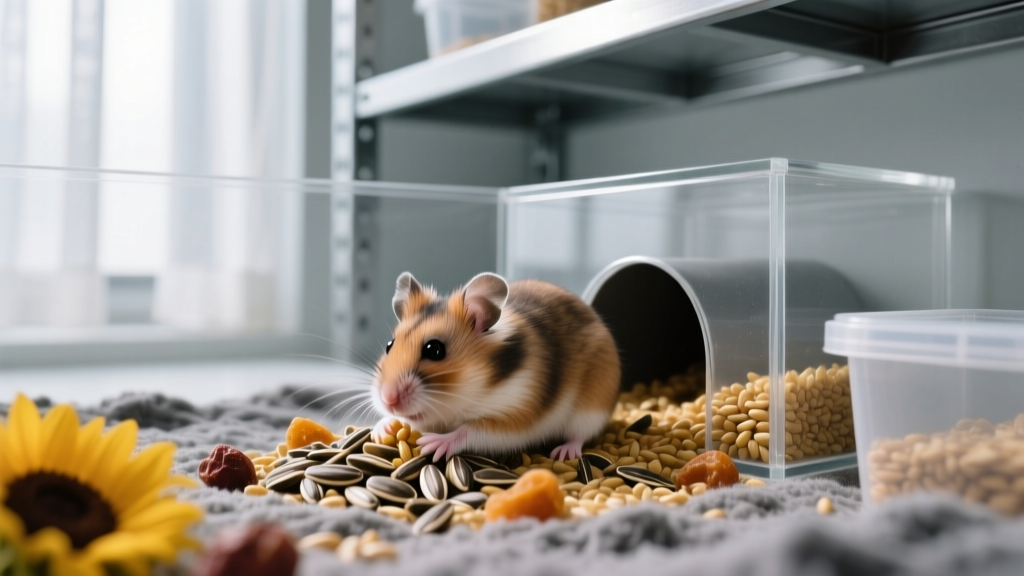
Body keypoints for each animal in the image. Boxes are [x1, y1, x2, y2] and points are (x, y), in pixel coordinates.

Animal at [371, 271, 621, 462]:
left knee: (580, 435)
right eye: (389, 345)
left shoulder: (517, 415)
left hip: (592, 407)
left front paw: (432, 443)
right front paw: (380, 432)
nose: (388, 399)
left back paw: (563, 453)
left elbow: (471, 431)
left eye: (435, 350)